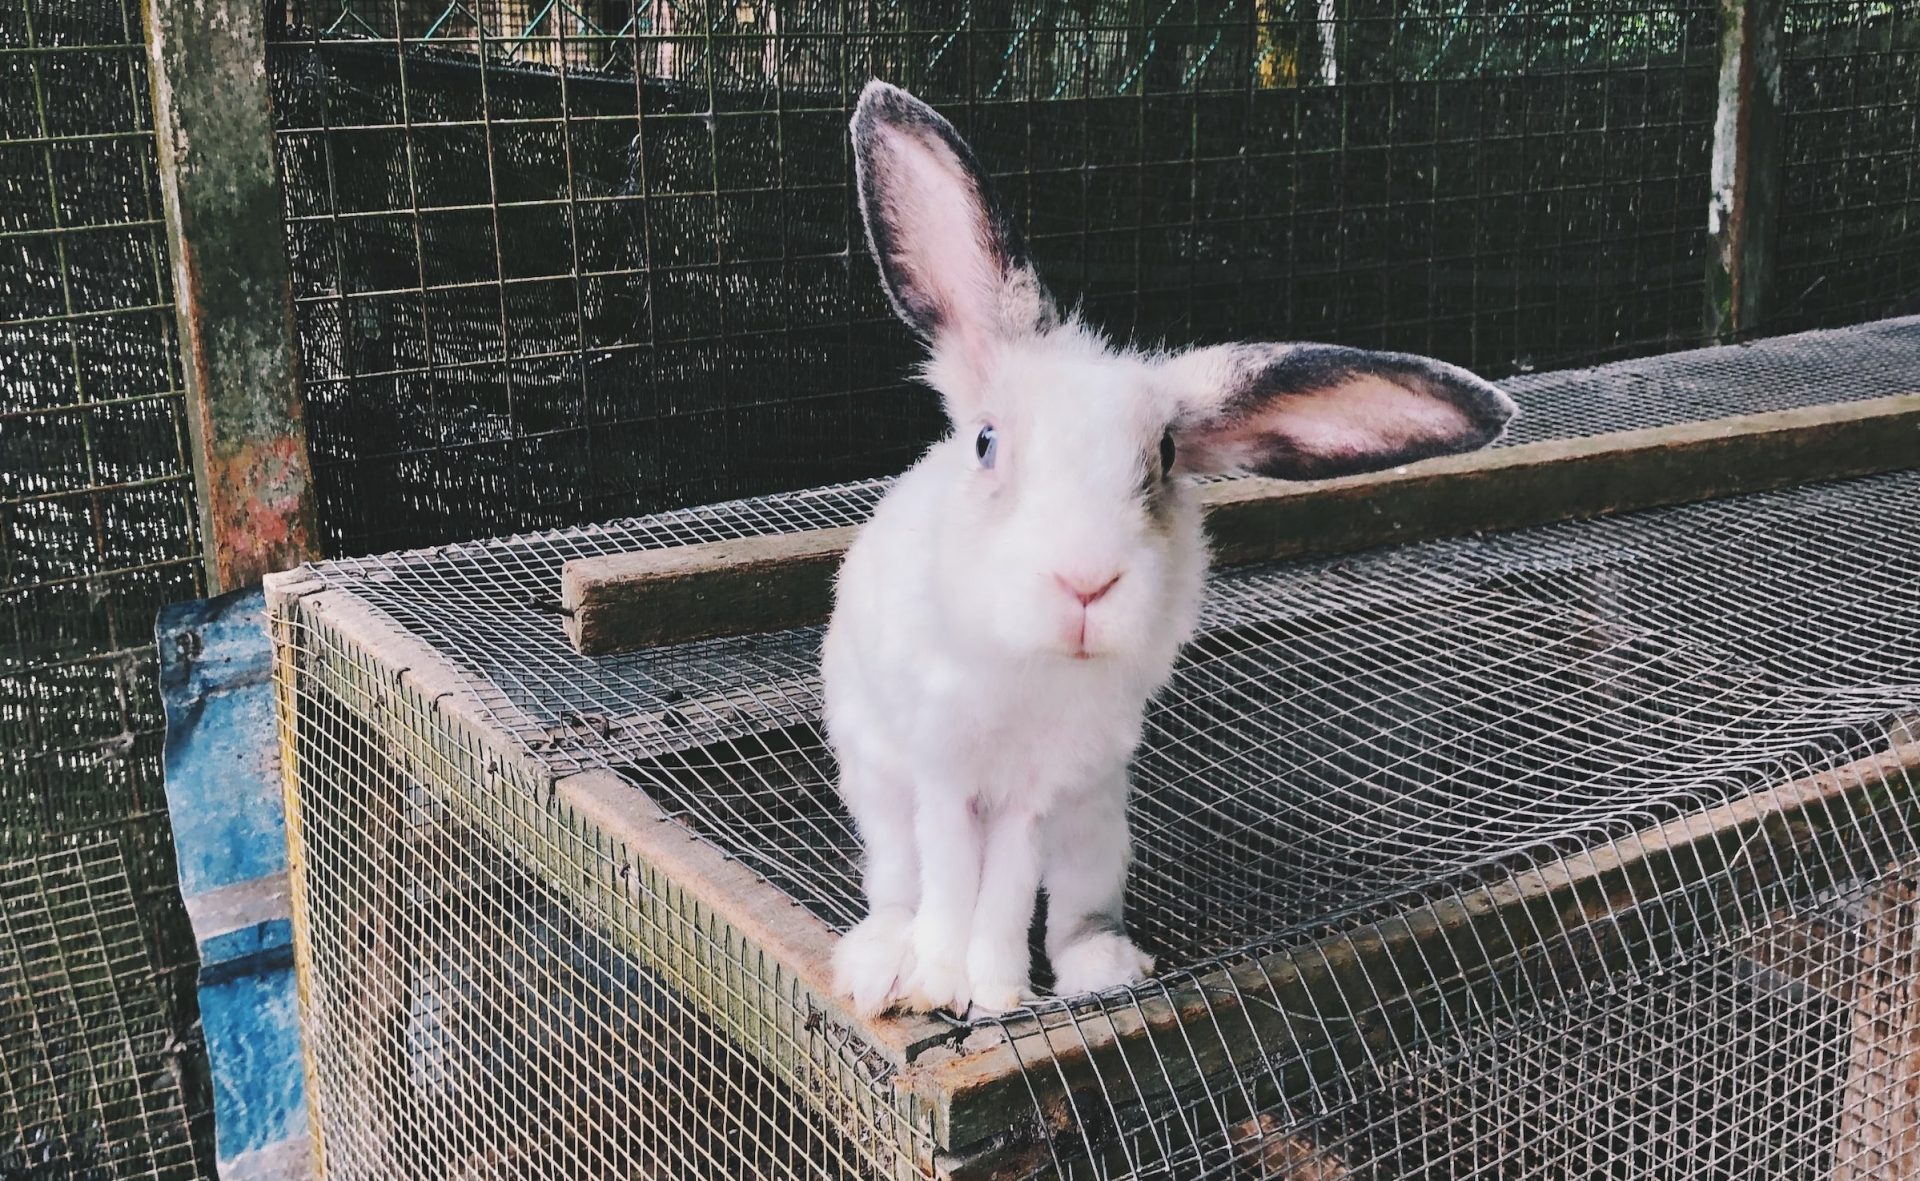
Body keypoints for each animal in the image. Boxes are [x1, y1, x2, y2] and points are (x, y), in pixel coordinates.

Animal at [825, 80, 1517, 1018]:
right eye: (986, 443)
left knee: (1074, 911)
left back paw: (1100, 968)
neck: (1030, 671)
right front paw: (941, 984)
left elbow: (1004, 892)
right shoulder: (944, 771)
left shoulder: (1041, 790)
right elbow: (952, 881)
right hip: (879, 793)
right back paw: (881, 966)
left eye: (1161, 459)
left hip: (1099, 827)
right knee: (899, 885)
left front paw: (998, 992)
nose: (1086, 583)